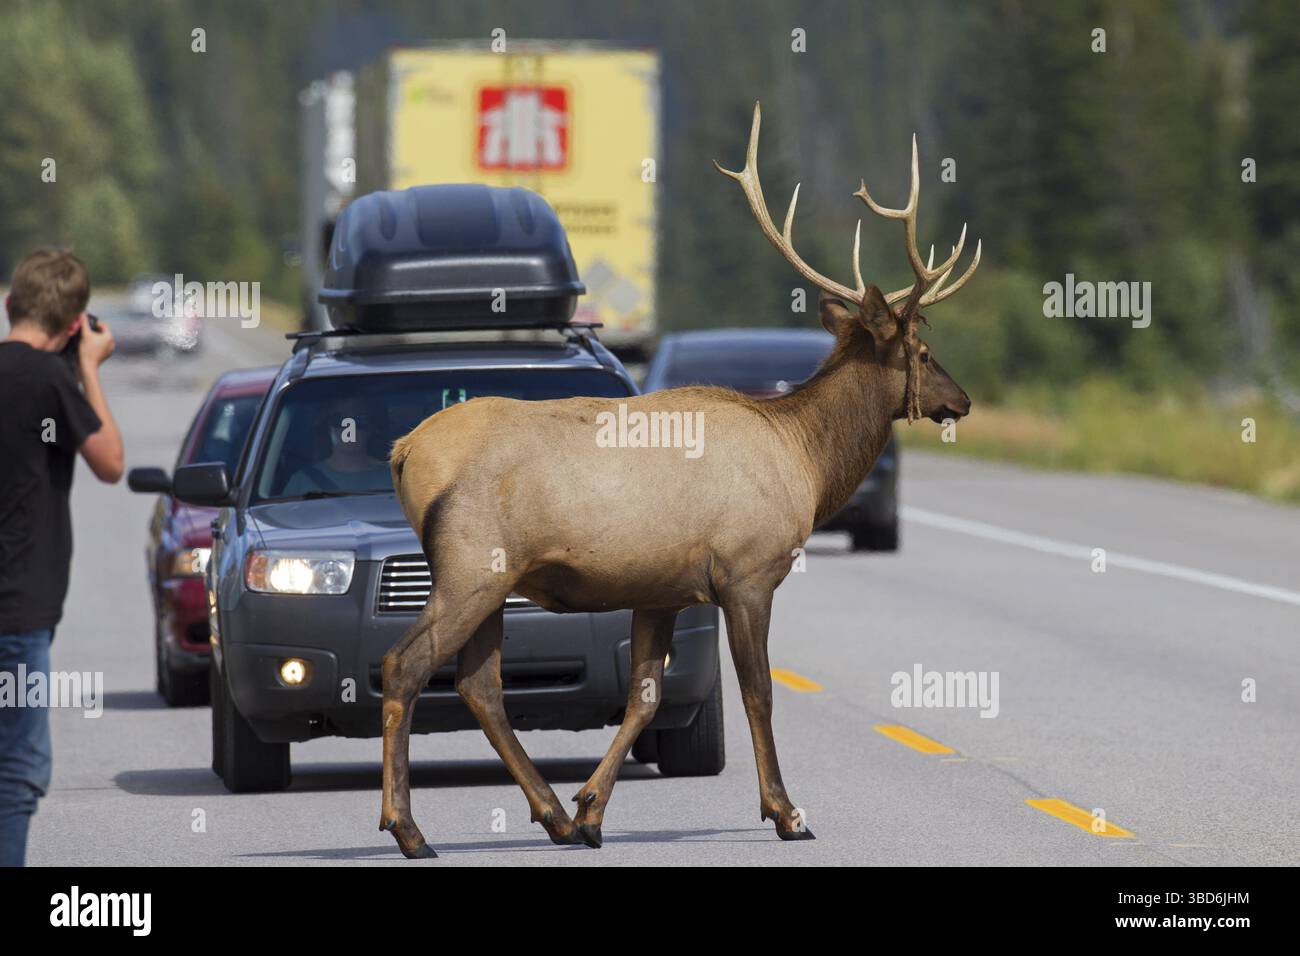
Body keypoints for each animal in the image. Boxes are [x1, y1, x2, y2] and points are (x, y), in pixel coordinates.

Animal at [379, 101, 980, 858]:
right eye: (923, 351)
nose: (964, 400)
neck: (807, 462)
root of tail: (404, 452)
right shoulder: (746, 572)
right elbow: (758, 692)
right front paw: (786, 813)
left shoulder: (661, 588)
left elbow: (645, 696)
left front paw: (592, 810)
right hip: (468, 564)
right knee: (404, 666)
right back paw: (407, 828)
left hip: (490, 579)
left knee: (478, 685)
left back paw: (552, 815)